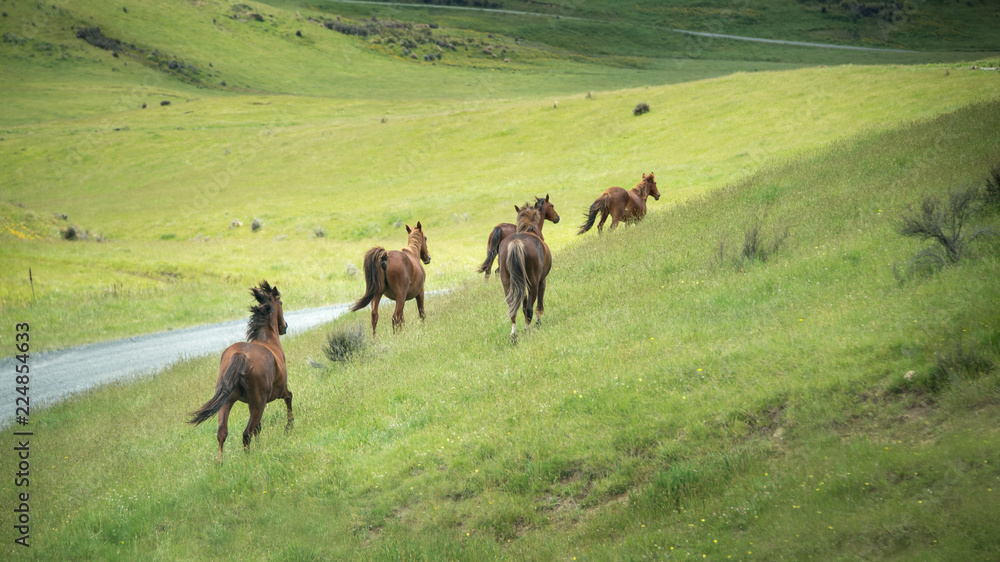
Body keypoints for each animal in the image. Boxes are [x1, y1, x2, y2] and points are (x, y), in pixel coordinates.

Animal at [187, 281, 292, 462]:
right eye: (281, 302)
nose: (284, 326)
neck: (268, 340)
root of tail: (240, 355)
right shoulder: (280, 391)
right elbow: (289, 398)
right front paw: (289, 427)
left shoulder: (250, 403)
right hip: (259, 403)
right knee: (246, 433)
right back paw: (248, 457)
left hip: (227, 402)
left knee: (223, 432)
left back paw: (220, 462)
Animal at [498, 204, 552, 341]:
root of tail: (516, 242)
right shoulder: (542, 281)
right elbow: (538, 306)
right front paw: (538, 323)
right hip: (533, 282)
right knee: (529, 308)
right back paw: (528, 328)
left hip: (507, 283)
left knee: (512, 308)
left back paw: (513, 334)